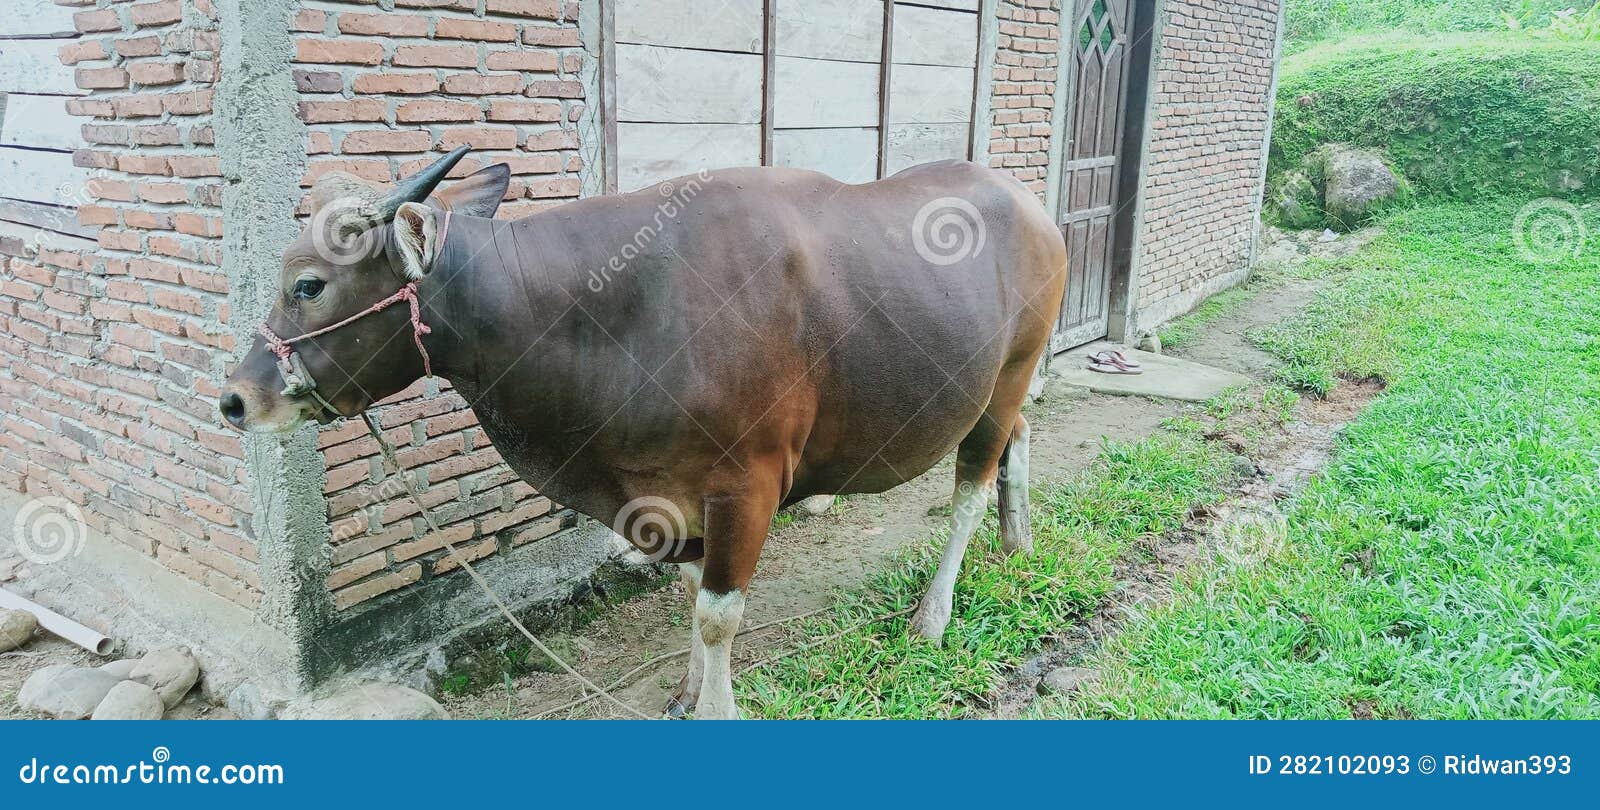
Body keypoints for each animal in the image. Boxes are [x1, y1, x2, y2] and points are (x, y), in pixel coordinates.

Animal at [220, 147, 1068, 719]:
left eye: (308, 283)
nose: (234, 399)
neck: (616, 314)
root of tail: (1029, 205)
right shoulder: (665, 492)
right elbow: (692, 592)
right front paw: (687, 693)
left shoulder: (747, 482)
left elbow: (718, 612)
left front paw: (718, 707)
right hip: (995, 388)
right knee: (1020, 436)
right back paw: (1019, 539)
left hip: (1008, 373)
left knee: (969, 486)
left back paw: (933, 614)